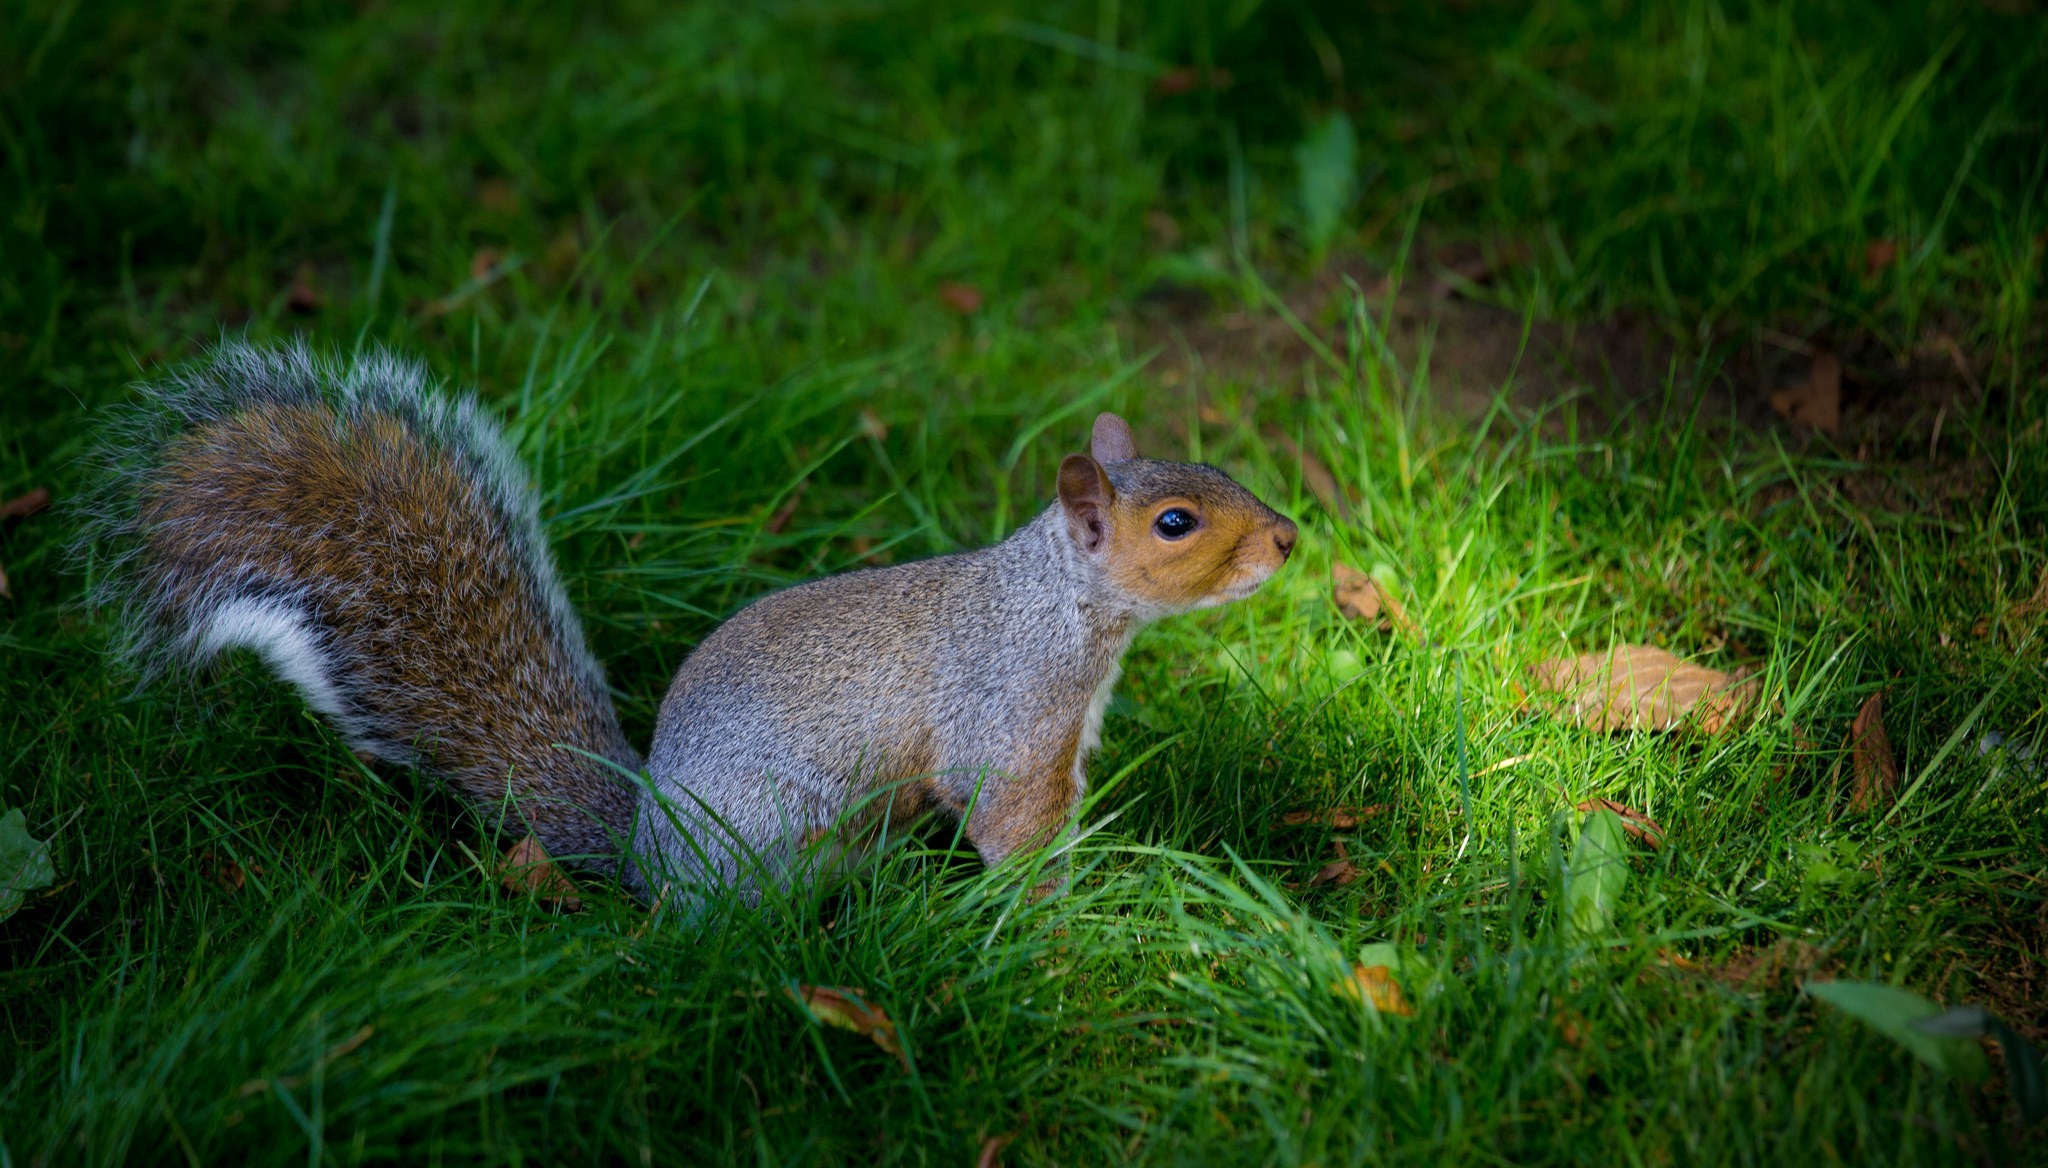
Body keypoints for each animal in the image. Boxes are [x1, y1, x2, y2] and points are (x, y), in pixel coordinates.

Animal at [81, 340, 1297, 901]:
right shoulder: (1009, 716)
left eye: (1217, 471)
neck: (1060, 607)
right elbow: (1008, 825)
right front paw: (1060, 912)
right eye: (1176, 522)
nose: (1289, 537)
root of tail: (650, 847)